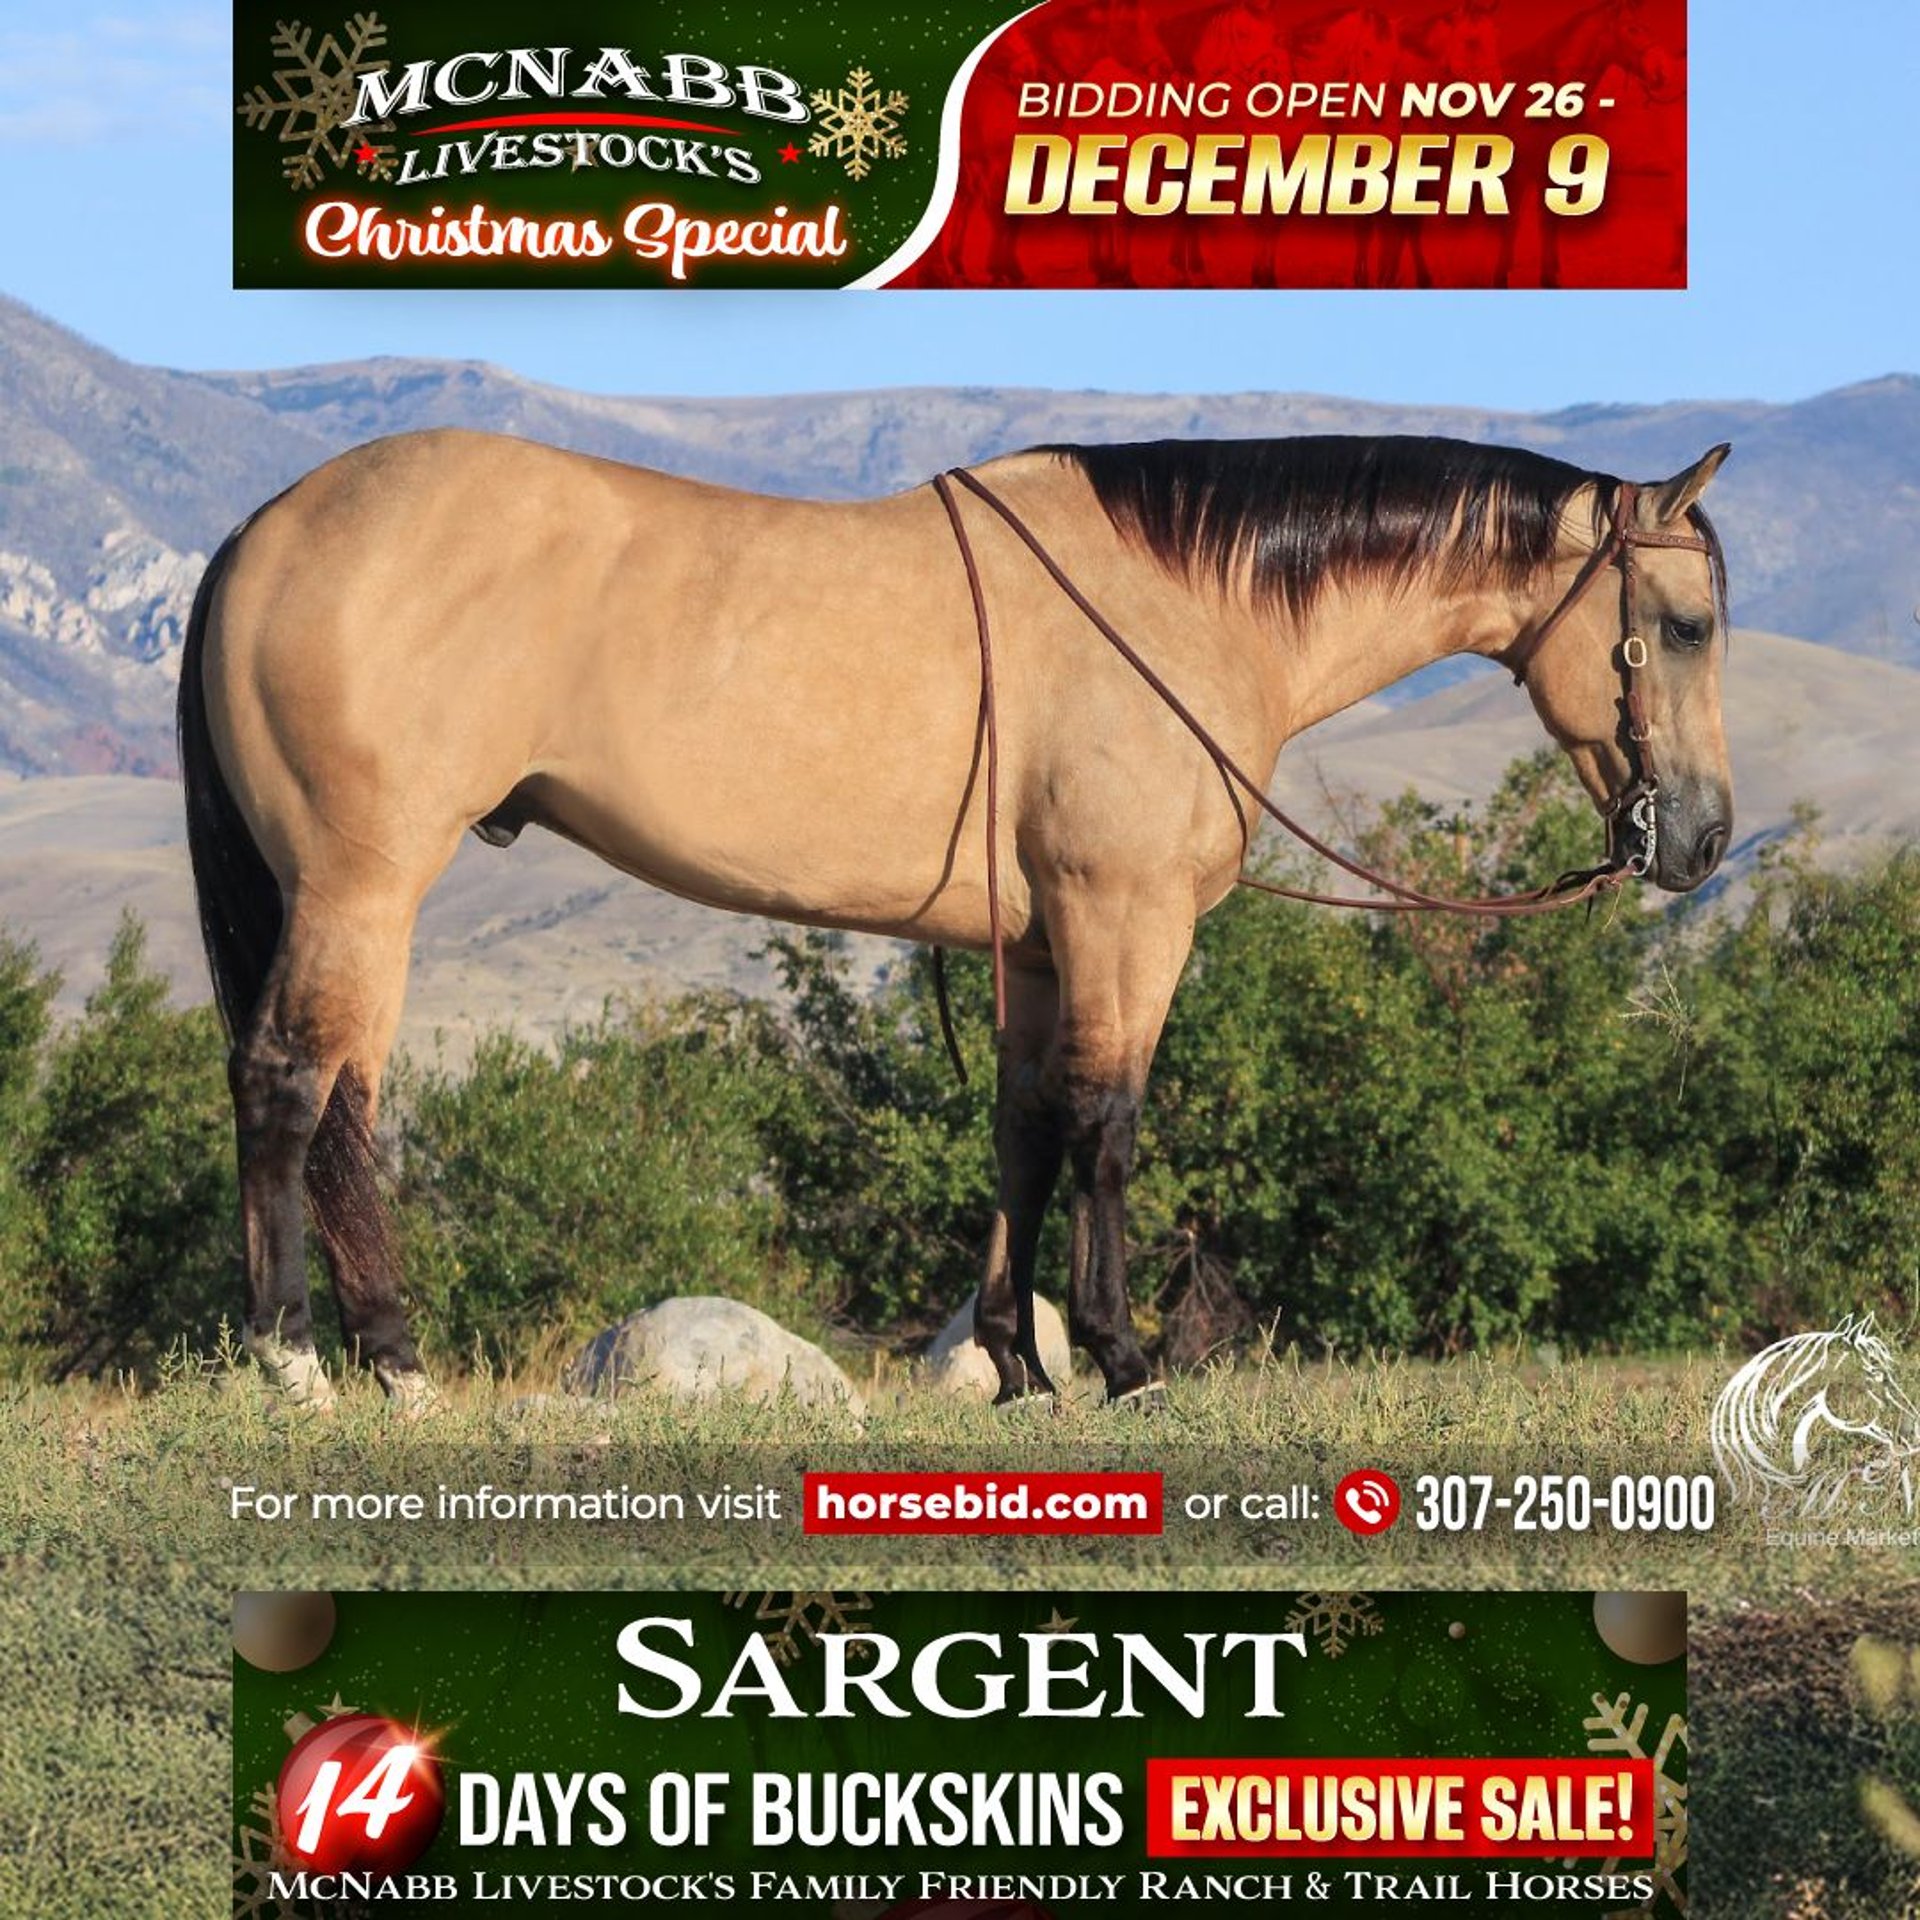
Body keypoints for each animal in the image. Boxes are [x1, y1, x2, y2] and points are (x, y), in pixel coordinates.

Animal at [177, 429, 1734, 1411]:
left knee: (344, 1107)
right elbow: (1109, 1125)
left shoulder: (1040, 946)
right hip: (363, 883)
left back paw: (380, 1355)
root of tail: (264, 526)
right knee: (292, 1085)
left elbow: (1026, 1134)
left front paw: (1022, 1367)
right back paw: (314, 1365)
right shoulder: (1126, 920)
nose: (1704, 839)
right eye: (1689, 623)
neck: (1182, 605)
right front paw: (1121, 1359)